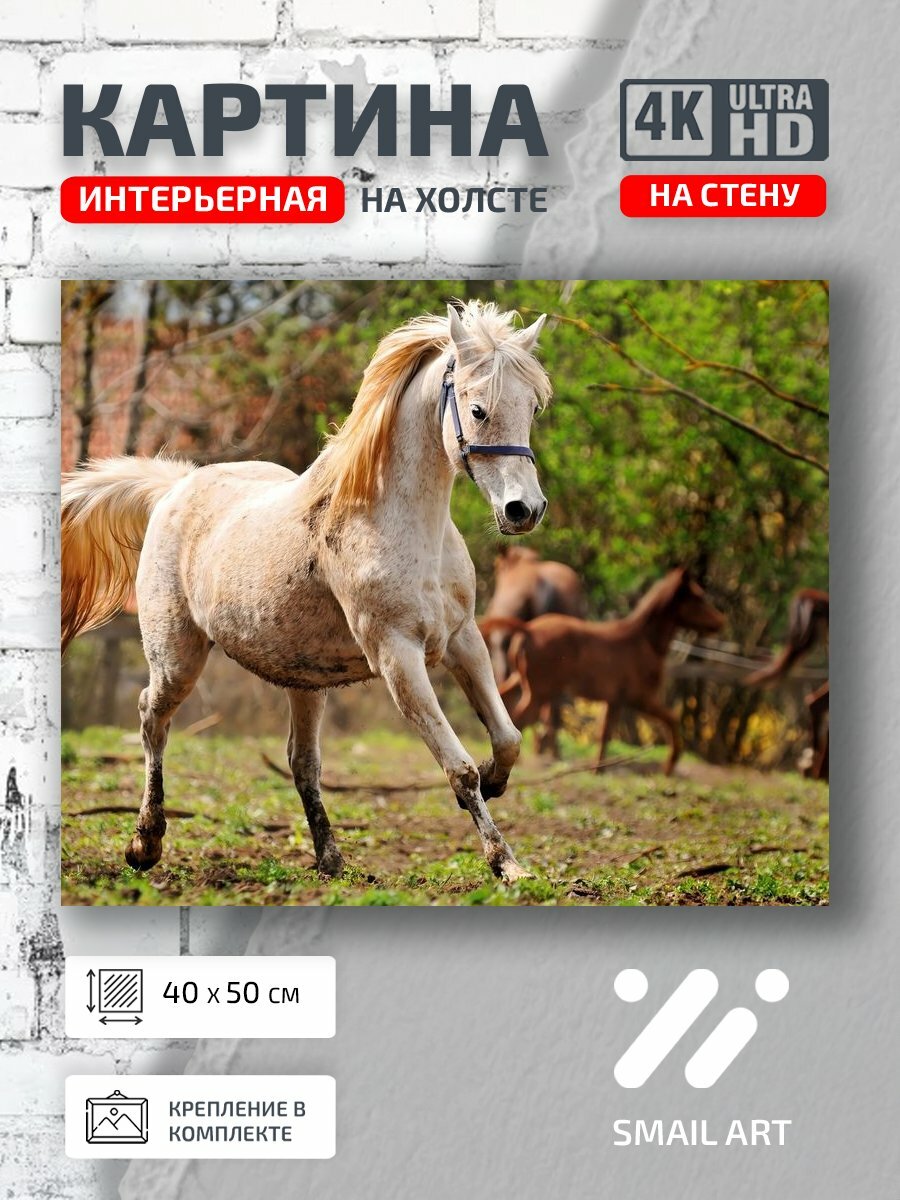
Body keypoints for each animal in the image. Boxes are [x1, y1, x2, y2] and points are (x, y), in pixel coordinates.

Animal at [61, 301, 551, 883]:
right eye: (478, 410)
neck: (398, 524)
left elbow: (508, 738)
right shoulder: (398, 658)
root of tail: (175, 489)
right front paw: (507, 864)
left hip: (304, 680)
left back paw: (330, 859)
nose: (524, 511)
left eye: (532, 408)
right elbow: (458, 768)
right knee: (151, 719)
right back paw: (145, 843)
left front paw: (497, 782)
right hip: (176, 659)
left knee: (301, 761)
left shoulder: (463, 641)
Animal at [480, 567, 724, 775]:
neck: (642, 641)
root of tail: (528, 629)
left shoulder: (615, 701)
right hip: (540, 692)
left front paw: (598, 769)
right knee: (519, 719)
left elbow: (604, 734)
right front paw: (670, 765)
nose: (721, 622)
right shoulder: (641, 698)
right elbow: (672, 719)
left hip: (522, 681)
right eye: (698, 598)